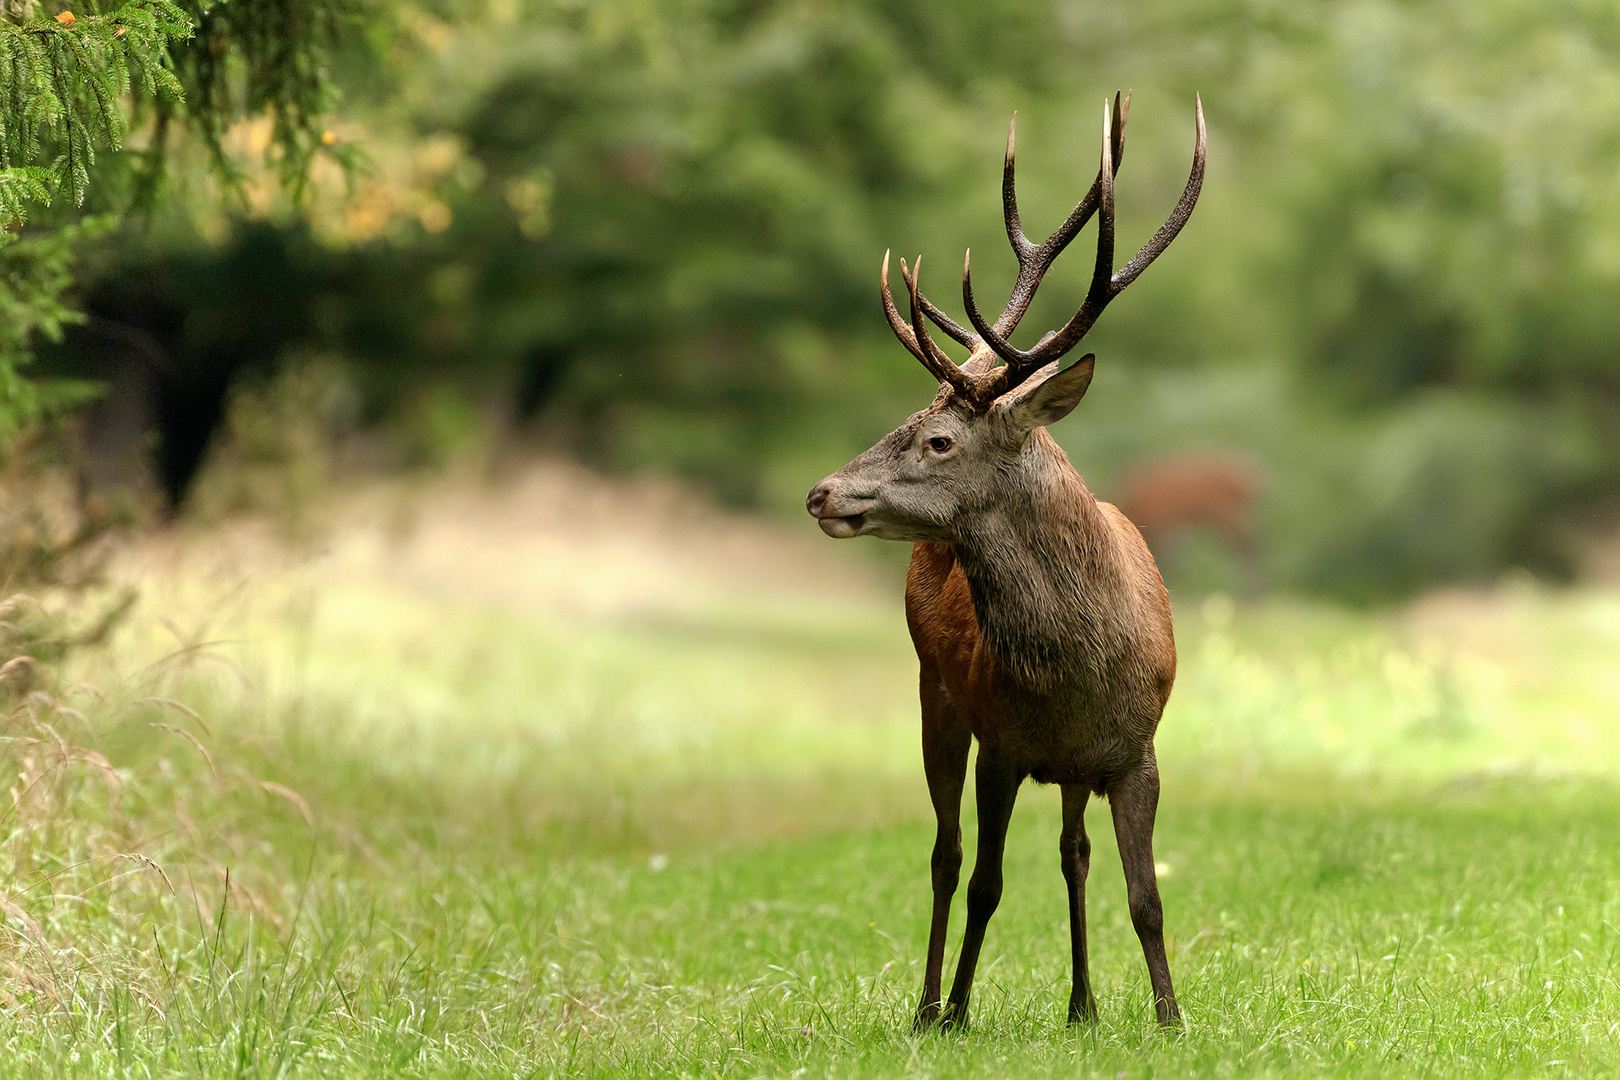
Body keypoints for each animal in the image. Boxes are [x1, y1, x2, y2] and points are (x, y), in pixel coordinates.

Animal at [805, 93, 1205, 1031]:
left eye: (939, 439)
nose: (821, 493)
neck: (1077, 676)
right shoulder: (1002, 741)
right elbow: (985, 882)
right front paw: (955, 1012)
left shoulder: (1136, 751)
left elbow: (1145, 896)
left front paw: (1170, 1018)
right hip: (935, 694)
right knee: (946, 856)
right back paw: (926, 1006)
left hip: (1065, 768)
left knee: (1072, 851)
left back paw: (1083, 1006)